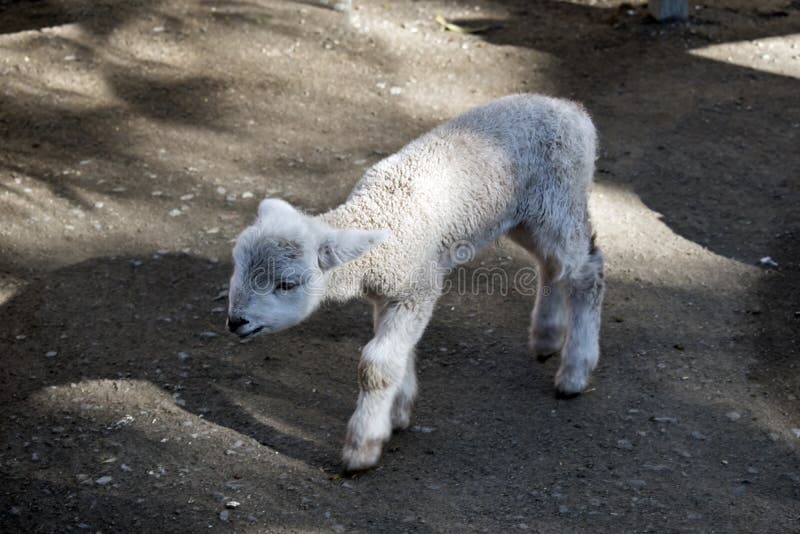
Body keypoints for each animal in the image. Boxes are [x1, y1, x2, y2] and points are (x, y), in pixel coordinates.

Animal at [226, 94, 605, 472]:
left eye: (286, 284)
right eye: (237, 267)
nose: (235, 321)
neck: (379, 216)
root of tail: (572, 110)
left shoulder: (418, 287)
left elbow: (376, 365)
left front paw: (362, 447)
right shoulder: (390, 294)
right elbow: (398, 353)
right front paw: (397, 412)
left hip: (560, 201)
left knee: (586, 273)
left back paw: (574, 372)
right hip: (525, 216)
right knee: (552, 264)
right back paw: (547, 337)